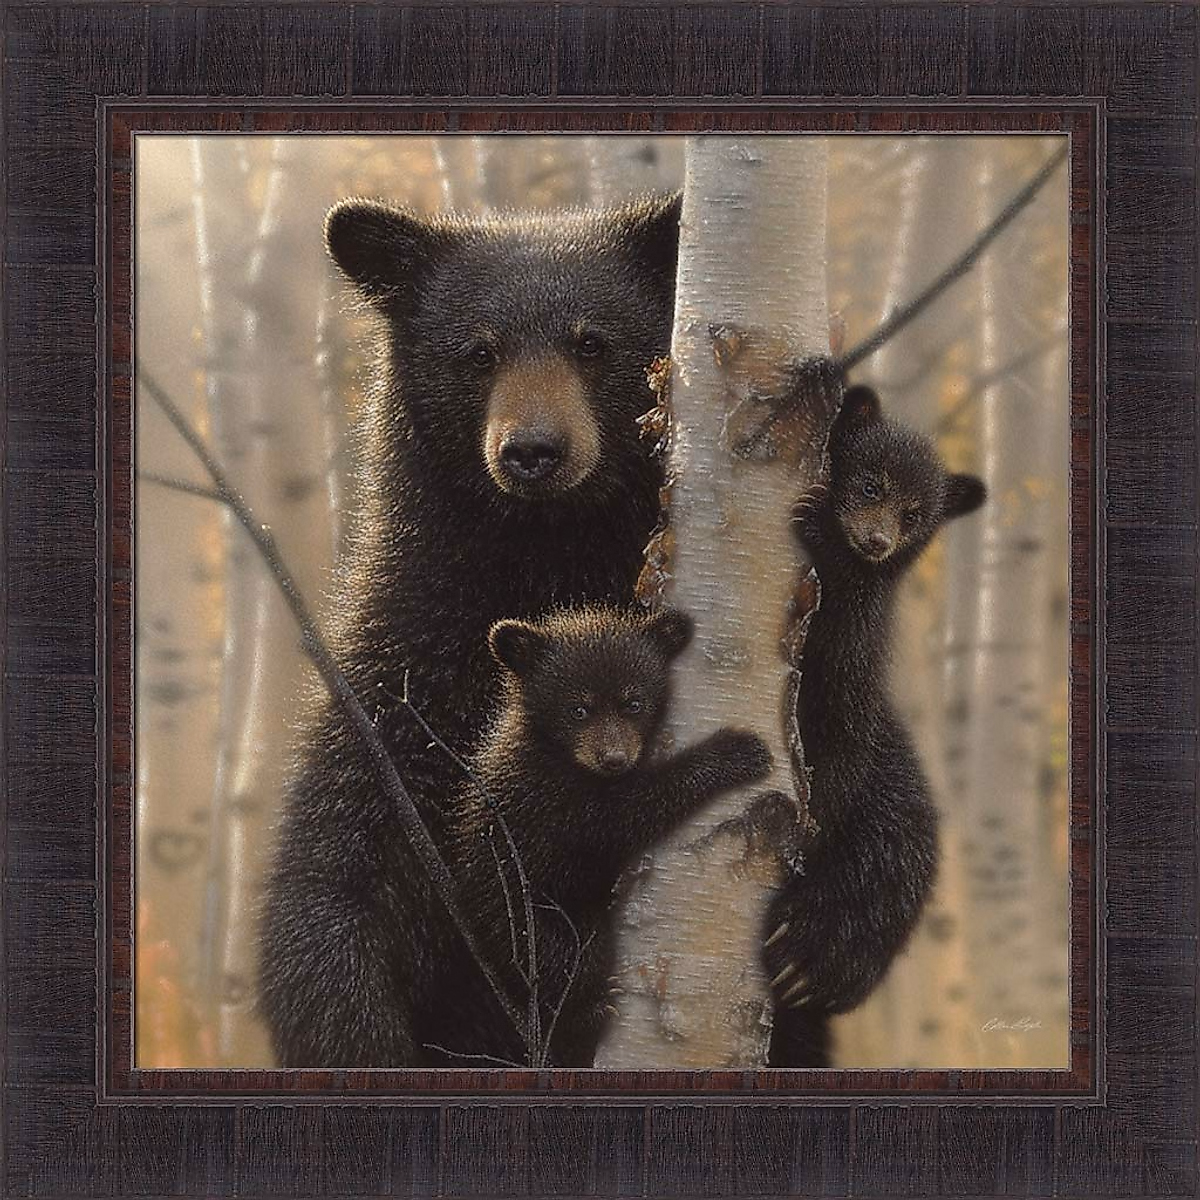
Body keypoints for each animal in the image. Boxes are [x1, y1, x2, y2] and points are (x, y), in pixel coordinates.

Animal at [257, 194, 683, 1067]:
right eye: (478, 353)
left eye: (593, 343)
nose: (534, 451)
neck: (545, 562)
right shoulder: (407, 679)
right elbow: (335, 879)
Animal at [423, 606, 774, 1067]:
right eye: (578, 709)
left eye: (633, 703)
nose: (613, 758)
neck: (557, 752)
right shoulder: (549, 797)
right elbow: (621, 817)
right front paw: (736, 752)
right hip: (524, 920)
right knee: (568, 960)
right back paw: (588, 1011)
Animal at [763, 383, 987, 1067]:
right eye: (869, 485)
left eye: (914, 514)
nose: (877, 542)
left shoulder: (853, 661)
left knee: (889, 863)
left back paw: (807, 958)